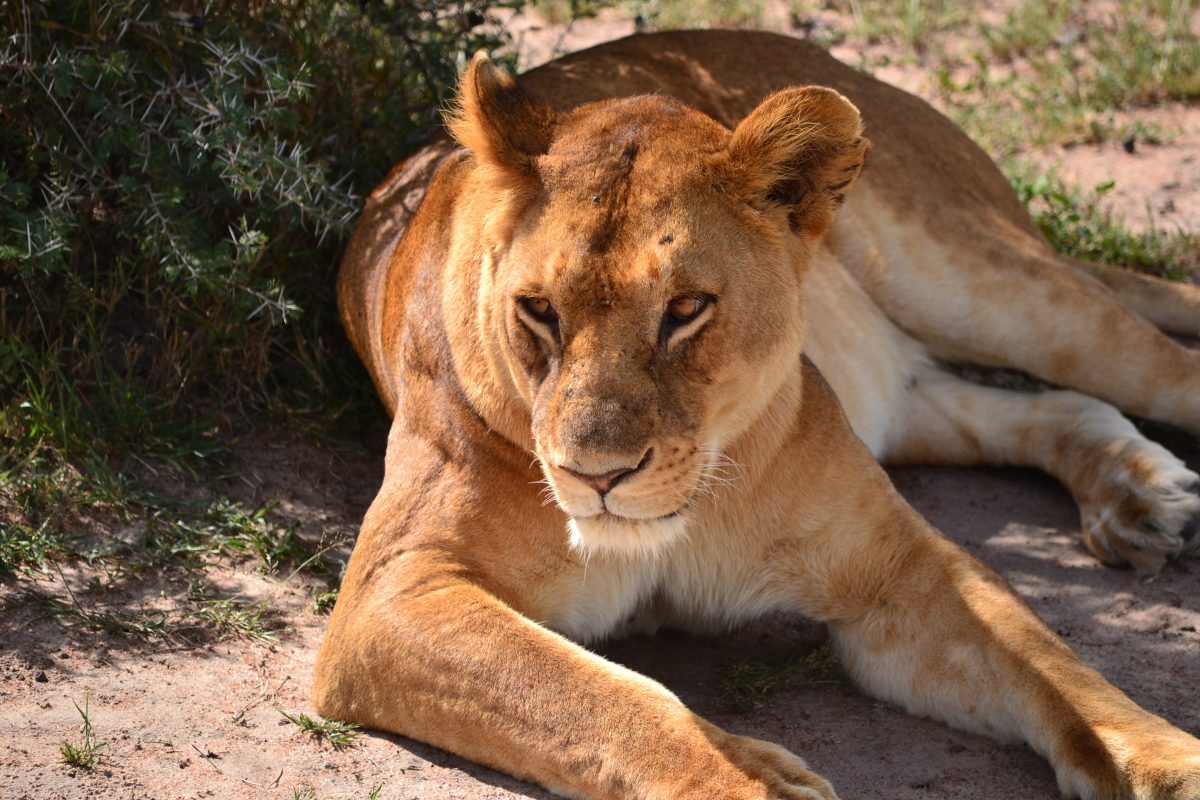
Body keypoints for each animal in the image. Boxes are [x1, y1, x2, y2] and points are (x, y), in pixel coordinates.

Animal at [314, 30, 1200, 800]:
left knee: (1147, 362)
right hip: (900, 391)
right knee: (1034, 403)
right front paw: (757, 781)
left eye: (686, 310)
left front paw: (1171, 766)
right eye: (538, 310)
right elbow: (592, 699)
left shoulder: (900, 564)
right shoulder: (396, 593)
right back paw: (1136, 495)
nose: (597, 476)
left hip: (991, 287)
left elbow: (1058, 668)